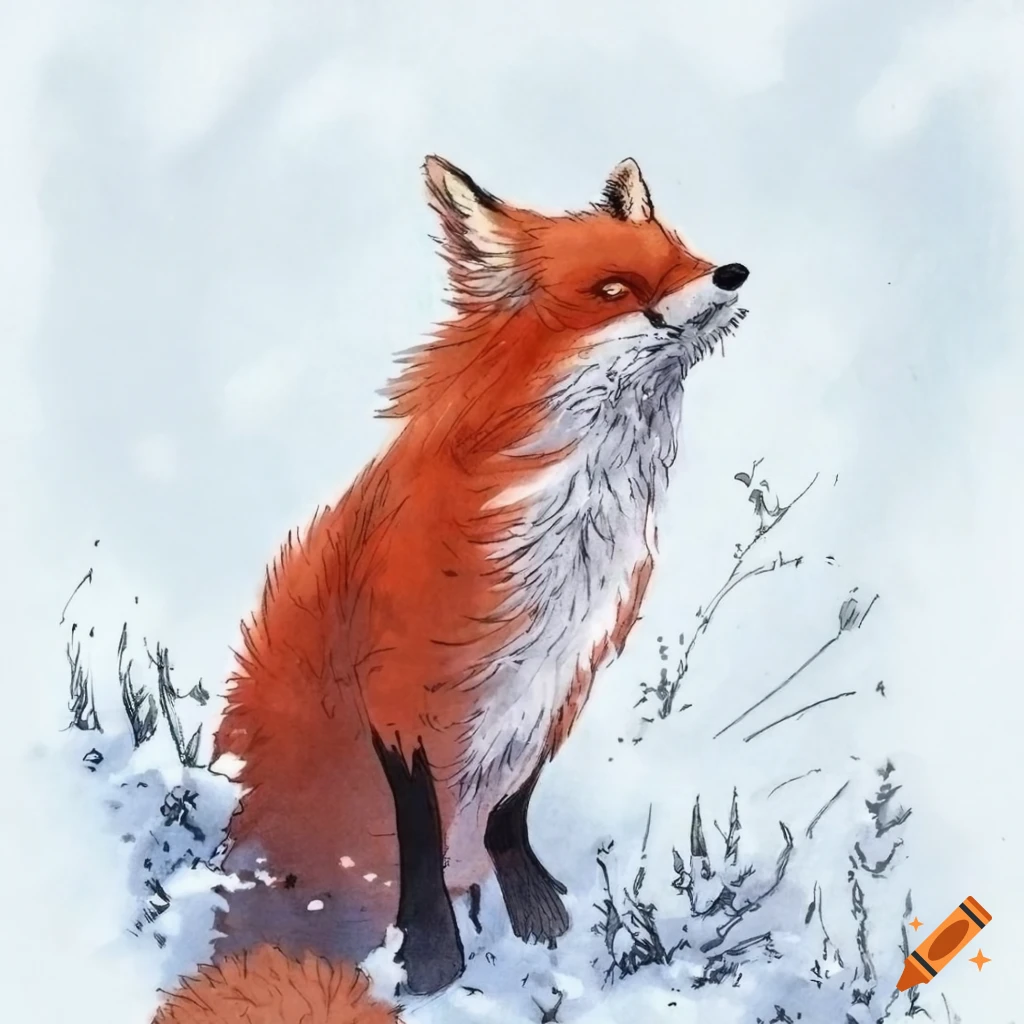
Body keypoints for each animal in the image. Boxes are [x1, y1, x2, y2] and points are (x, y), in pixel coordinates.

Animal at [152, 154, 749, 1023]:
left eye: (684, 255)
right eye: (613, 288)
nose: (732, 273)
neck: (569, 530)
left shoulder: (558, 683)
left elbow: (509, 814)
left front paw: (541, 922)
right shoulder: (397, 692)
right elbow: (421, 836)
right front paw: (433, 964)